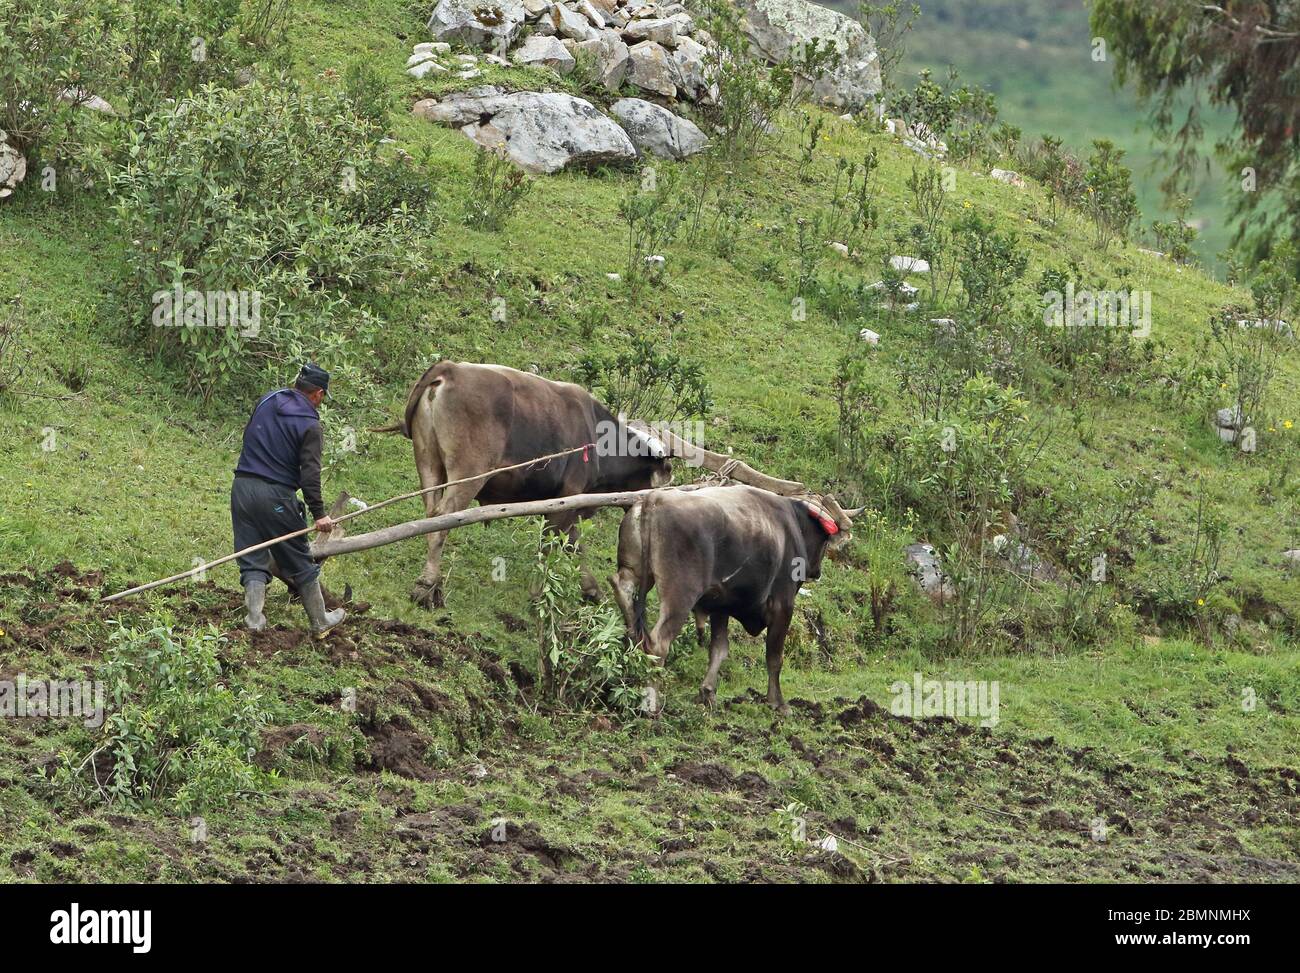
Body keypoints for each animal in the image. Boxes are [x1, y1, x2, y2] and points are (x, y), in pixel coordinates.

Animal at [374, 361, 673, 608]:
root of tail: (451, 368)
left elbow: (574, 545)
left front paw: (590, 589)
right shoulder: (567, 498)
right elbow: (552, 544)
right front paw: (538, 594)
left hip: (428, 463)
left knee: (429, 516)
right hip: (467, 473)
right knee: (443, 520)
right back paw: (426, 588)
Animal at [610, 485, 854, 714]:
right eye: (825, 541)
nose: (816, 571)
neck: (791, 527)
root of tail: (654, 499)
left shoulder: (721, 606)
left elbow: (719, 649)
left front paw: (708, 693)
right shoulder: (783, 604)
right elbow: (774, 657)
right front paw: (778, 702)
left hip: (634, 572)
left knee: (624, 595)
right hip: (680, 594)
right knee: (658, 642)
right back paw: (652, 704)